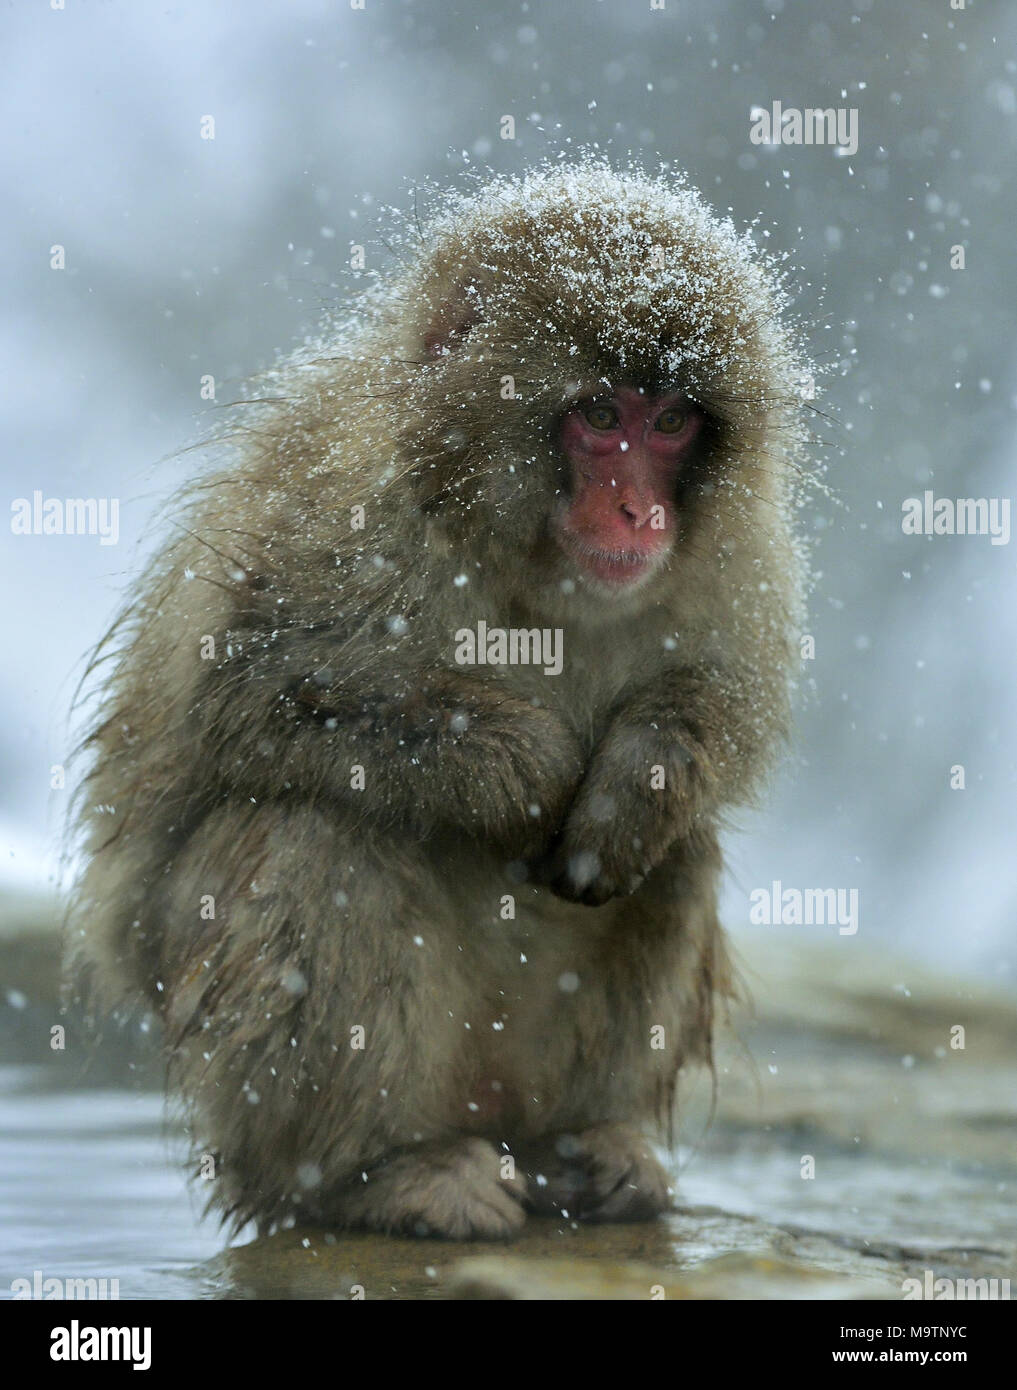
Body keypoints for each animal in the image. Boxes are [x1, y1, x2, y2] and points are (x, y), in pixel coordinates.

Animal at [66, 161, 811, 1240]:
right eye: (600, 415)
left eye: (672, 421)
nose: (641, 513)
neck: (524, 559)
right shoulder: (341, 504)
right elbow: (235, 691)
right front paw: (524, 768)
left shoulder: (739, 554)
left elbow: (727, 698)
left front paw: (633, 779)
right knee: (314, 834)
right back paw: (368, 1175)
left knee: (678, 853)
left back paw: (590, 1148)